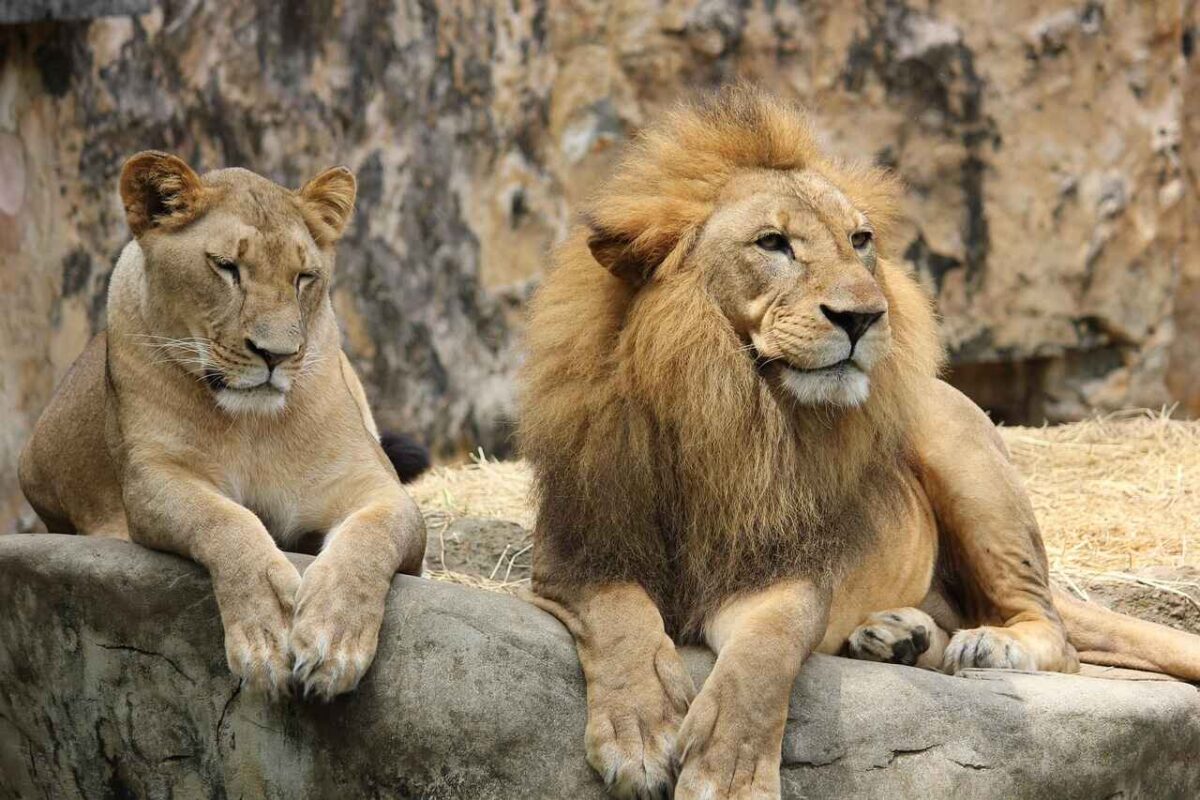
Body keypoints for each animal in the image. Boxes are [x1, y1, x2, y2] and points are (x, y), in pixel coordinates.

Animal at [18, 152, 427, 700]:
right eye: (226, 267)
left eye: (304, 277)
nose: (276, 355)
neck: (252, 425)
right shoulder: (152, 479)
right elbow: (224, 519)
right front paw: (267, 629)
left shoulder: (376, 486)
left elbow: (372, 537)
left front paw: (334, 638)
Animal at [520, 86, 1200, 799]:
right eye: (773, 243)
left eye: (860, 240)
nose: (864, 317)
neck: (727, 412)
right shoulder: (578, 553)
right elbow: (622, 618)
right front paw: (641, 733)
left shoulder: (786, 572)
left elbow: (759, 664)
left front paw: (728, 774)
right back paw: (898, 636)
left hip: (961, 452)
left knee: (1054, 632)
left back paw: (988, 644)